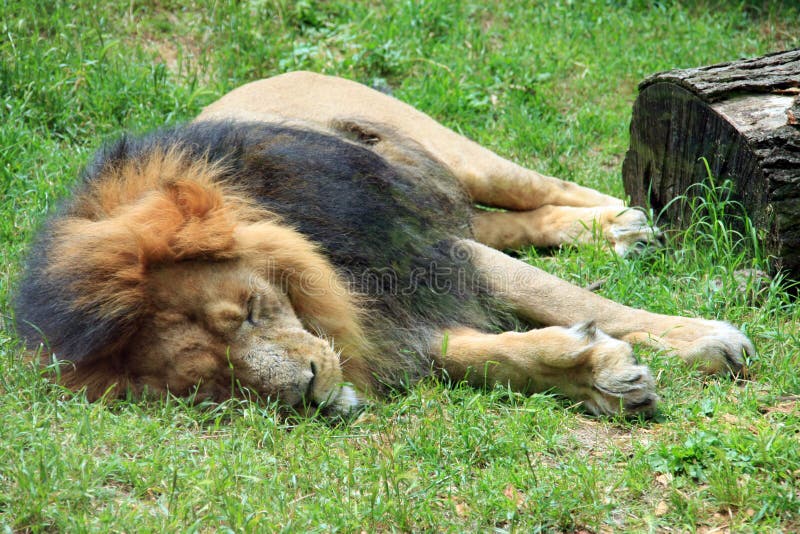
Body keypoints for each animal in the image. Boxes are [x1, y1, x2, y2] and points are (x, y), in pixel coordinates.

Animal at [14, 71, 754, 417]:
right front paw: (600, 376)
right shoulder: (393, 314)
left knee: (541, 187)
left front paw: (703, 341)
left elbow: (568, 298)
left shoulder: (426, 254)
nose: (309, 390)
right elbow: (486, 355)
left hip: (456, 154)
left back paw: (625, 223)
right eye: (213, 383)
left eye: (249, 312)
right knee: (513, 222)